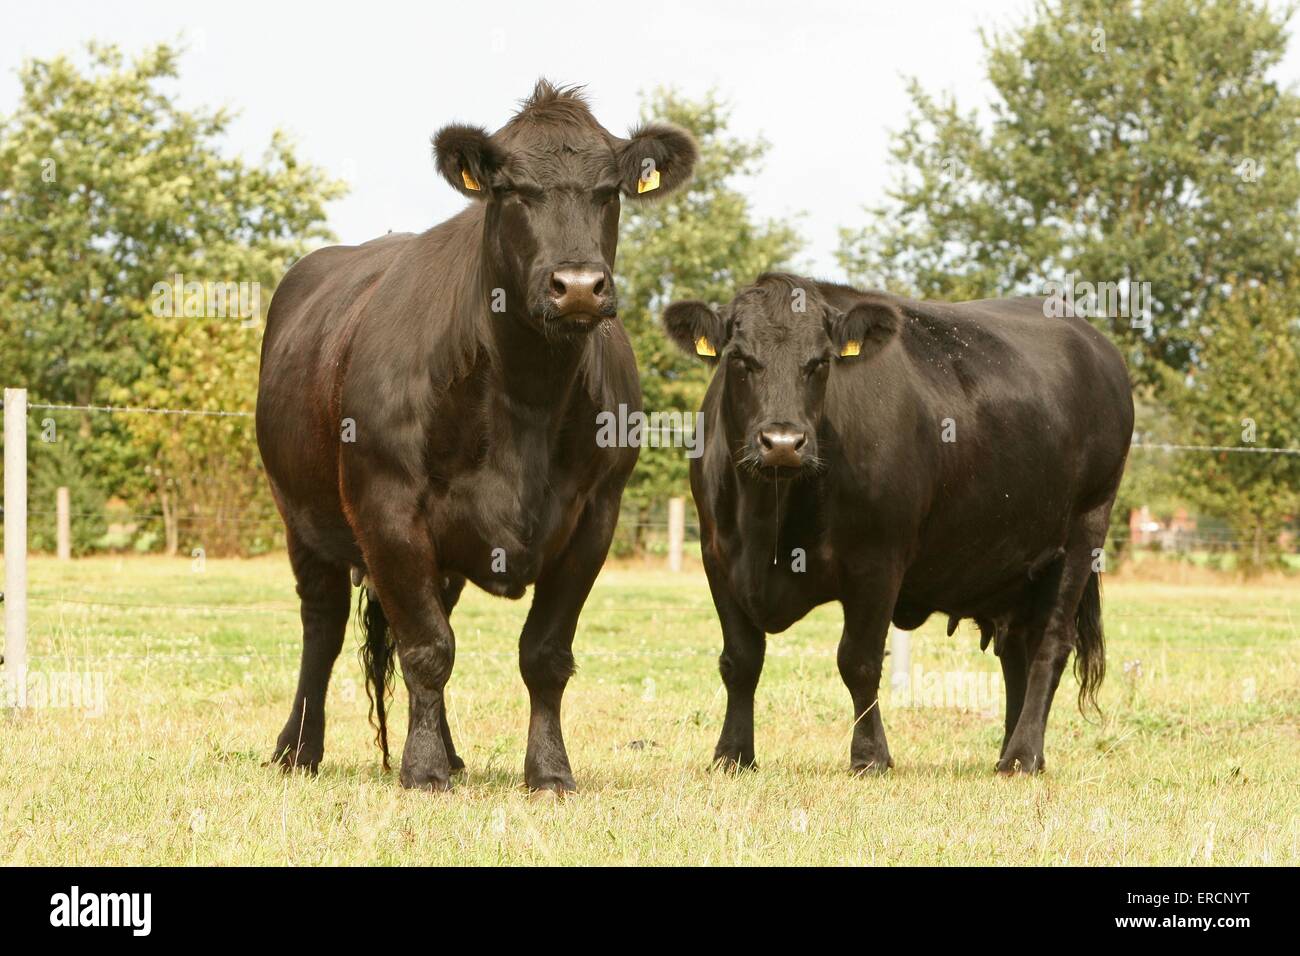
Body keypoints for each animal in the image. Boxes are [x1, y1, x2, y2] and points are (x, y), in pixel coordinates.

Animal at [256, 81, 696, 792]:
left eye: (611, 190)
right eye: (510, 188)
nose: (578, 287)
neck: (527, 396)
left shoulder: (595, 515)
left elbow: (543, 654)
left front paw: (548, 771)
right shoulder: (387, 506)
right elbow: (427, 649)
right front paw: (423, 771)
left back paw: (452, 752)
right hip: (301, 515)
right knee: (321, 626)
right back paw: (298, 748)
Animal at [662, 273, 1133, 774]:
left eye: (821, 362)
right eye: (739, 358)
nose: (783, 443)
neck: (767, 520)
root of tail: (1093, 339)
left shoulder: (877, 561)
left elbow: (859, 661)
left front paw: (870, 757)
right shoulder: (717, 556)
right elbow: (740, 660)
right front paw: (732, 755)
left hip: (1085, 530)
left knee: (1050, 644)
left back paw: (1022, 756)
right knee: (1017, 650)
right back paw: (1011, 750)